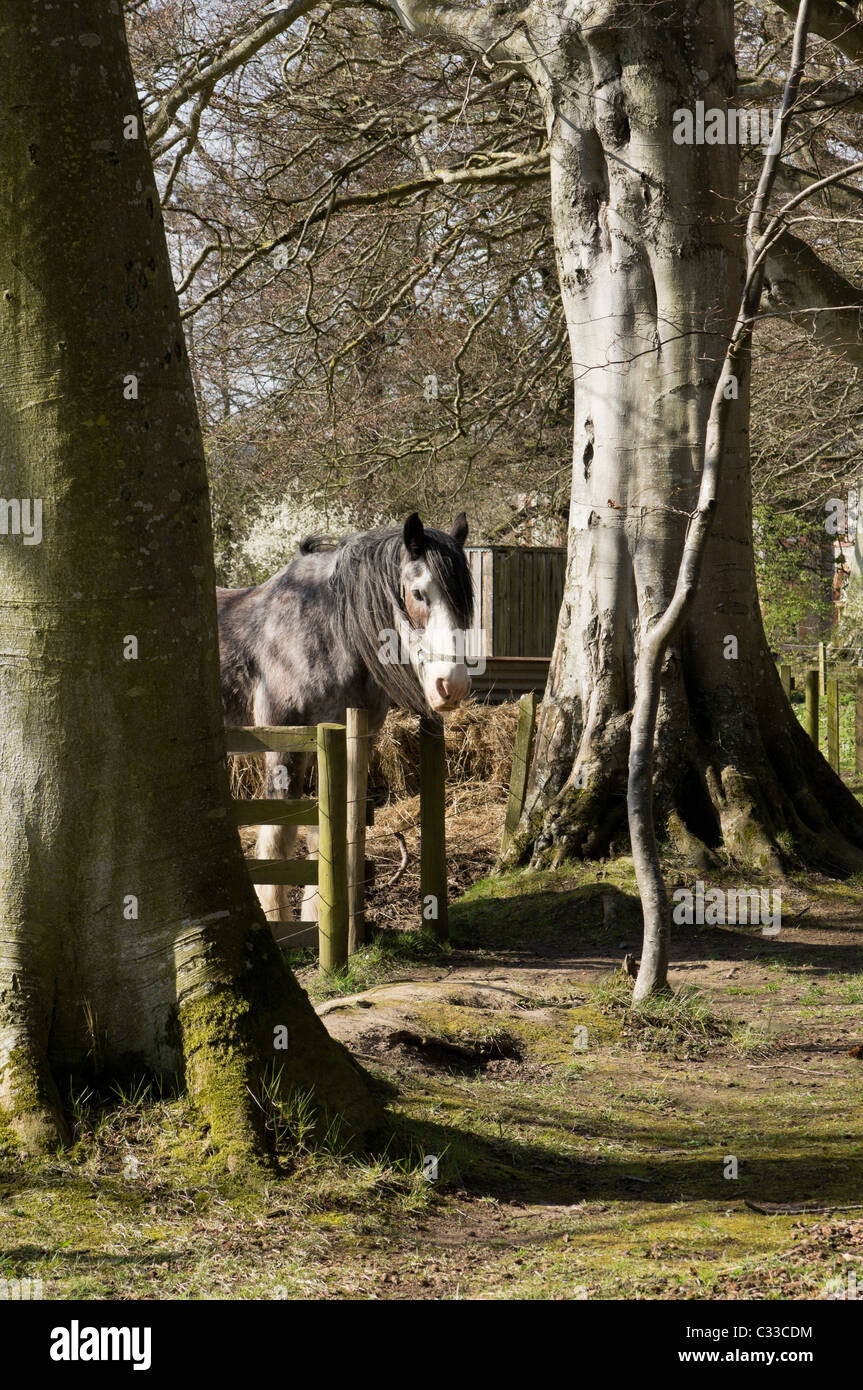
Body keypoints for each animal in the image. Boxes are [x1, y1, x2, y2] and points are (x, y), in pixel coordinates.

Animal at [217, 511, 474, 939]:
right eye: (419, 593)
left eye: (465, 600)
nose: (450, 686)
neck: (324, 634)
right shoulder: (284, 745)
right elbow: (278, 840)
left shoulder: (353, 742)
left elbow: (336, 831)